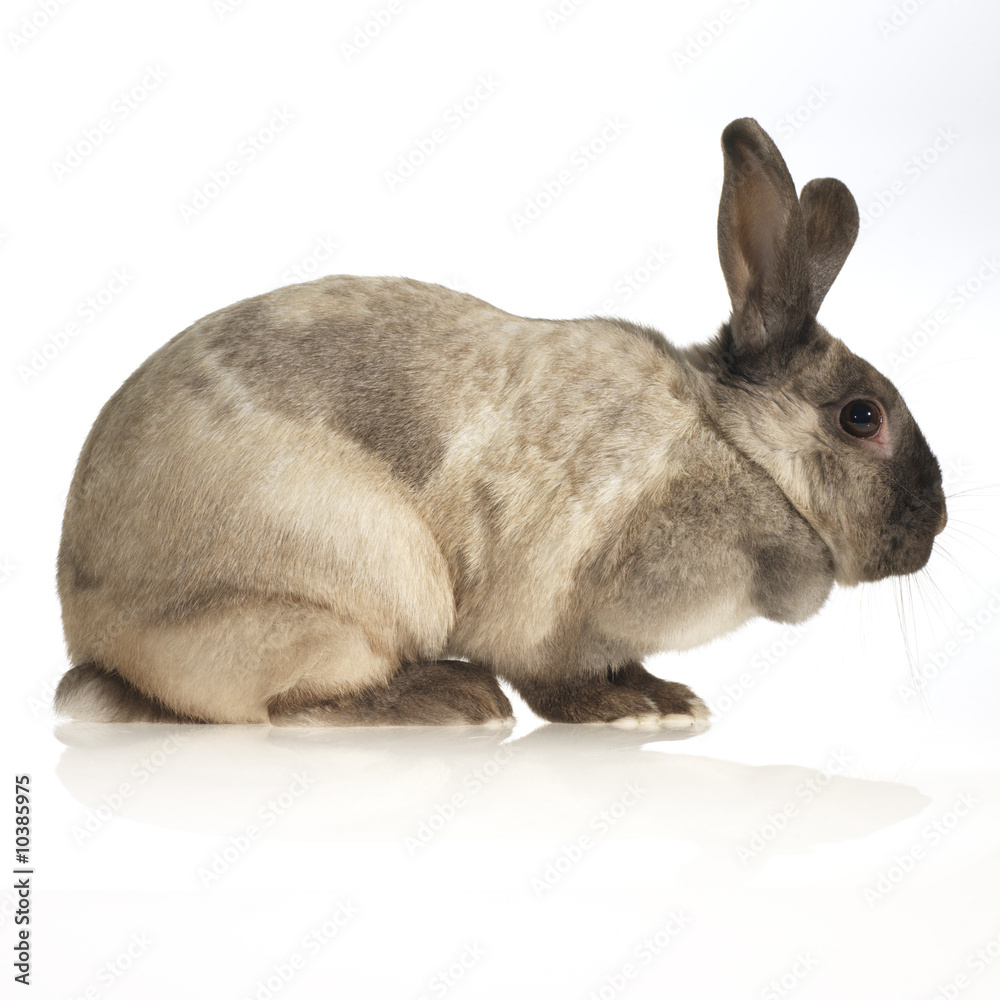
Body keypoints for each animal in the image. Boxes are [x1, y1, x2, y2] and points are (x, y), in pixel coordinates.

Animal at [54, 117, 947, 730]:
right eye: (861, 417)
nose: (935, 522)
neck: (738, 449)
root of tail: (97, 640)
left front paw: (663, 695)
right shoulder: (561, 600)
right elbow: (557, 678)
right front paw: (642, 710)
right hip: (347, 594)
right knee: (292, 704)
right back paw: (454, 699)